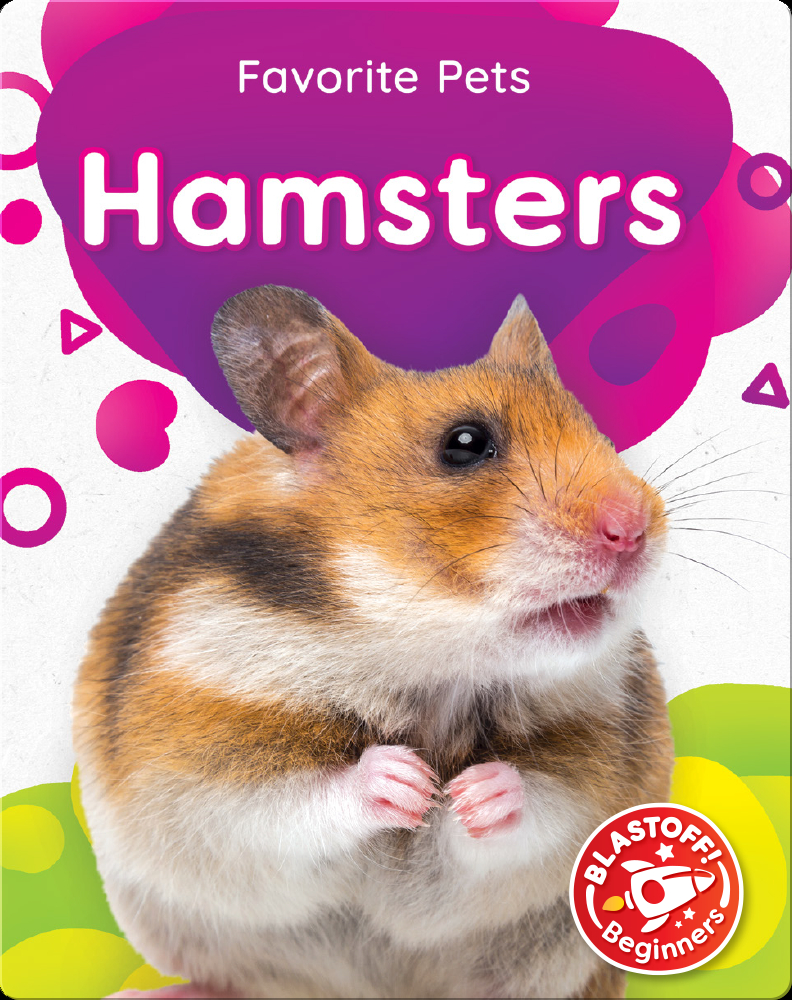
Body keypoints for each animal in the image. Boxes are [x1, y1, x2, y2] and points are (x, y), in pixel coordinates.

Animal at [74, 286, 673, 1000]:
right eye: (465, 443)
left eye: (593, 425)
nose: (634, 529)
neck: (427, 664)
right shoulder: (197, 766)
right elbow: (289, 802)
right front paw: (406, 781)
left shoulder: (598, 768)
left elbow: (542, 809)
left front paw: (471, 794)